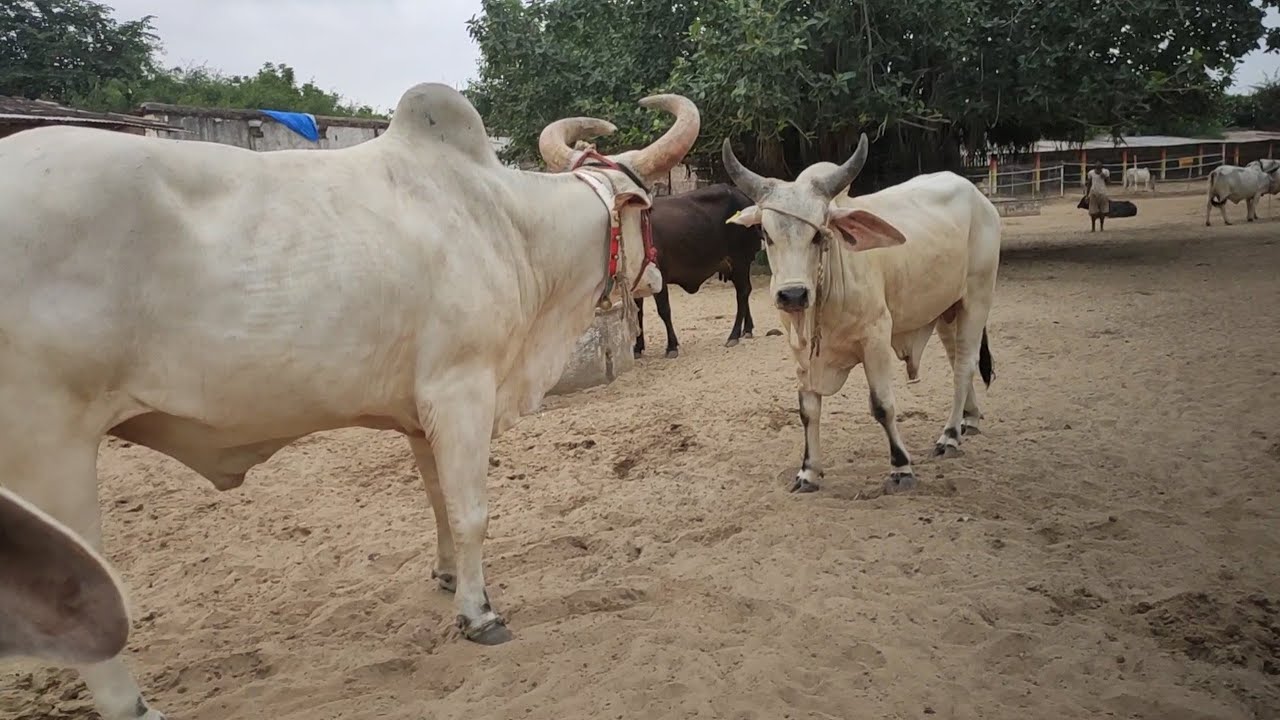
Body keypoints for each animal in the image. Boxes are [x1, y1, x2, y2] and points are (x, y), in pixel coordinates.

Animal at [634, 184, 763, 358]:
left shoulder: (660, 278)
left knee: (742, 293)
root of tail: (744, 197)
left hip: (740, 260)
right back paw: (747, 329)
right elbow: (637, 313)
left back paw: (734, 335)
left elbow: (664, 311)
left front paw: (671, 346)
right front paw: (637, 348)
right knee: (744, 292)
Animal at [721, 134, 1001, 494]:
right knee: (957, 362)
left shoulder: (876, 338)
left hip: (977, 299)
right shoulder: (801, 352)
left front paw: (901, 467)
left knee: (964, 366)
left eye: (818, 234)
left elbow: (882, 405)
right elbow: (808, 409)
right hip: (945, 311)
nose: (793, 295)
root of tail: (979, 197)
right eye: (766, 235)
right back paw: (970, 418)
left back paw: (950, 436)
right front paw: (808, 472)